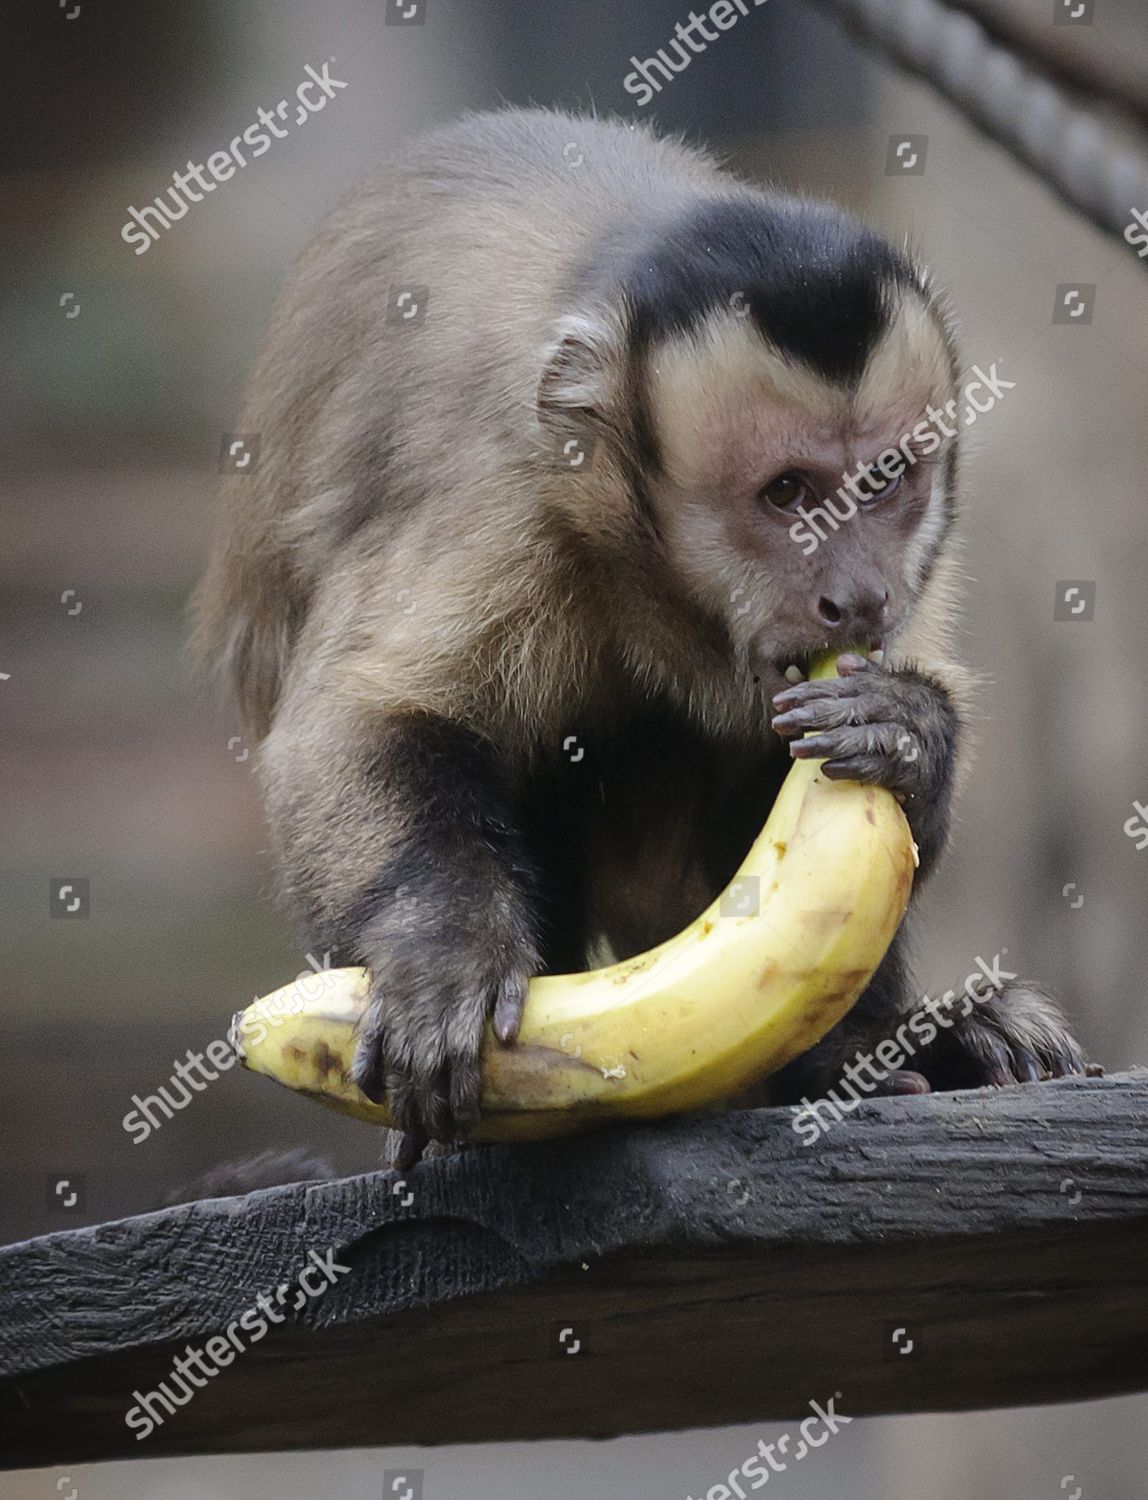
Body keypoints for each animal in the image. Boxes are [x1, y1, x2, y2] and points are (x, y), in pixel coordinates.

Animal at [194, 107, 1086, 1162]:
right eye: (787, 494)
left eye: (883, 482)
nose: (855, 596)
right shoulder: (508, 488)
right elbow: (357, 726)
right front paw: (444, 953)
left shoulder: (920, 565)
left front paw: (906, 731)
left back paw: (866, 1053)